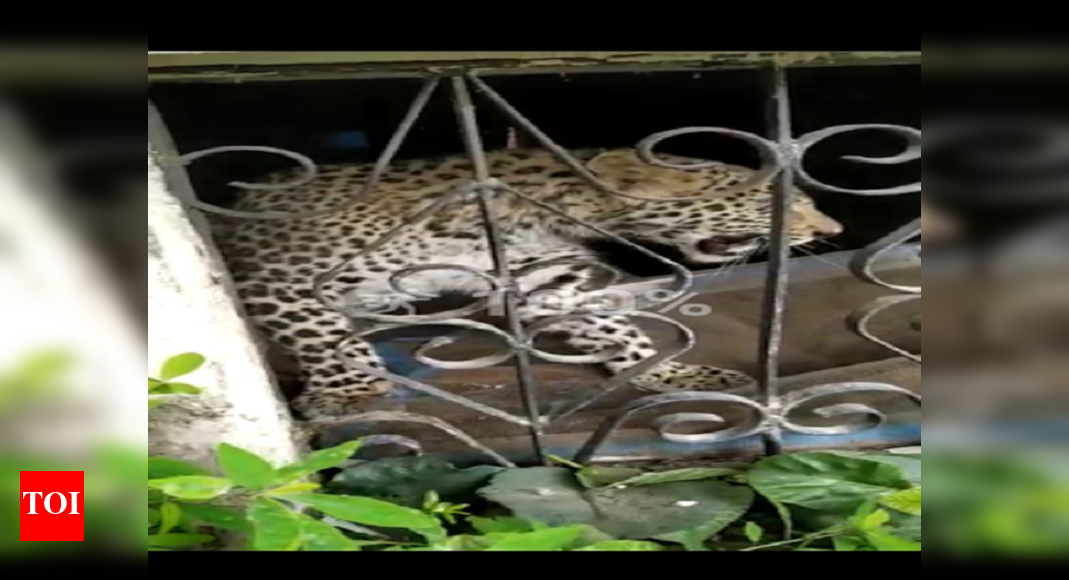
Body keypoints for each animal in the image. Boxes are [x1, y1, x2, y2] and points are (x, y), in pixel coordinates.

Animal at [211, 147, 844, 420]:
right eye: (779, 201)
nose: (833, 229)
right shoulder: (282, 272)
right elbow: (322, 333)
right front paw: (352, 391)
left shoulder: (540, 276)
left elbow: (609, 324)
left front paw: (666, 373)